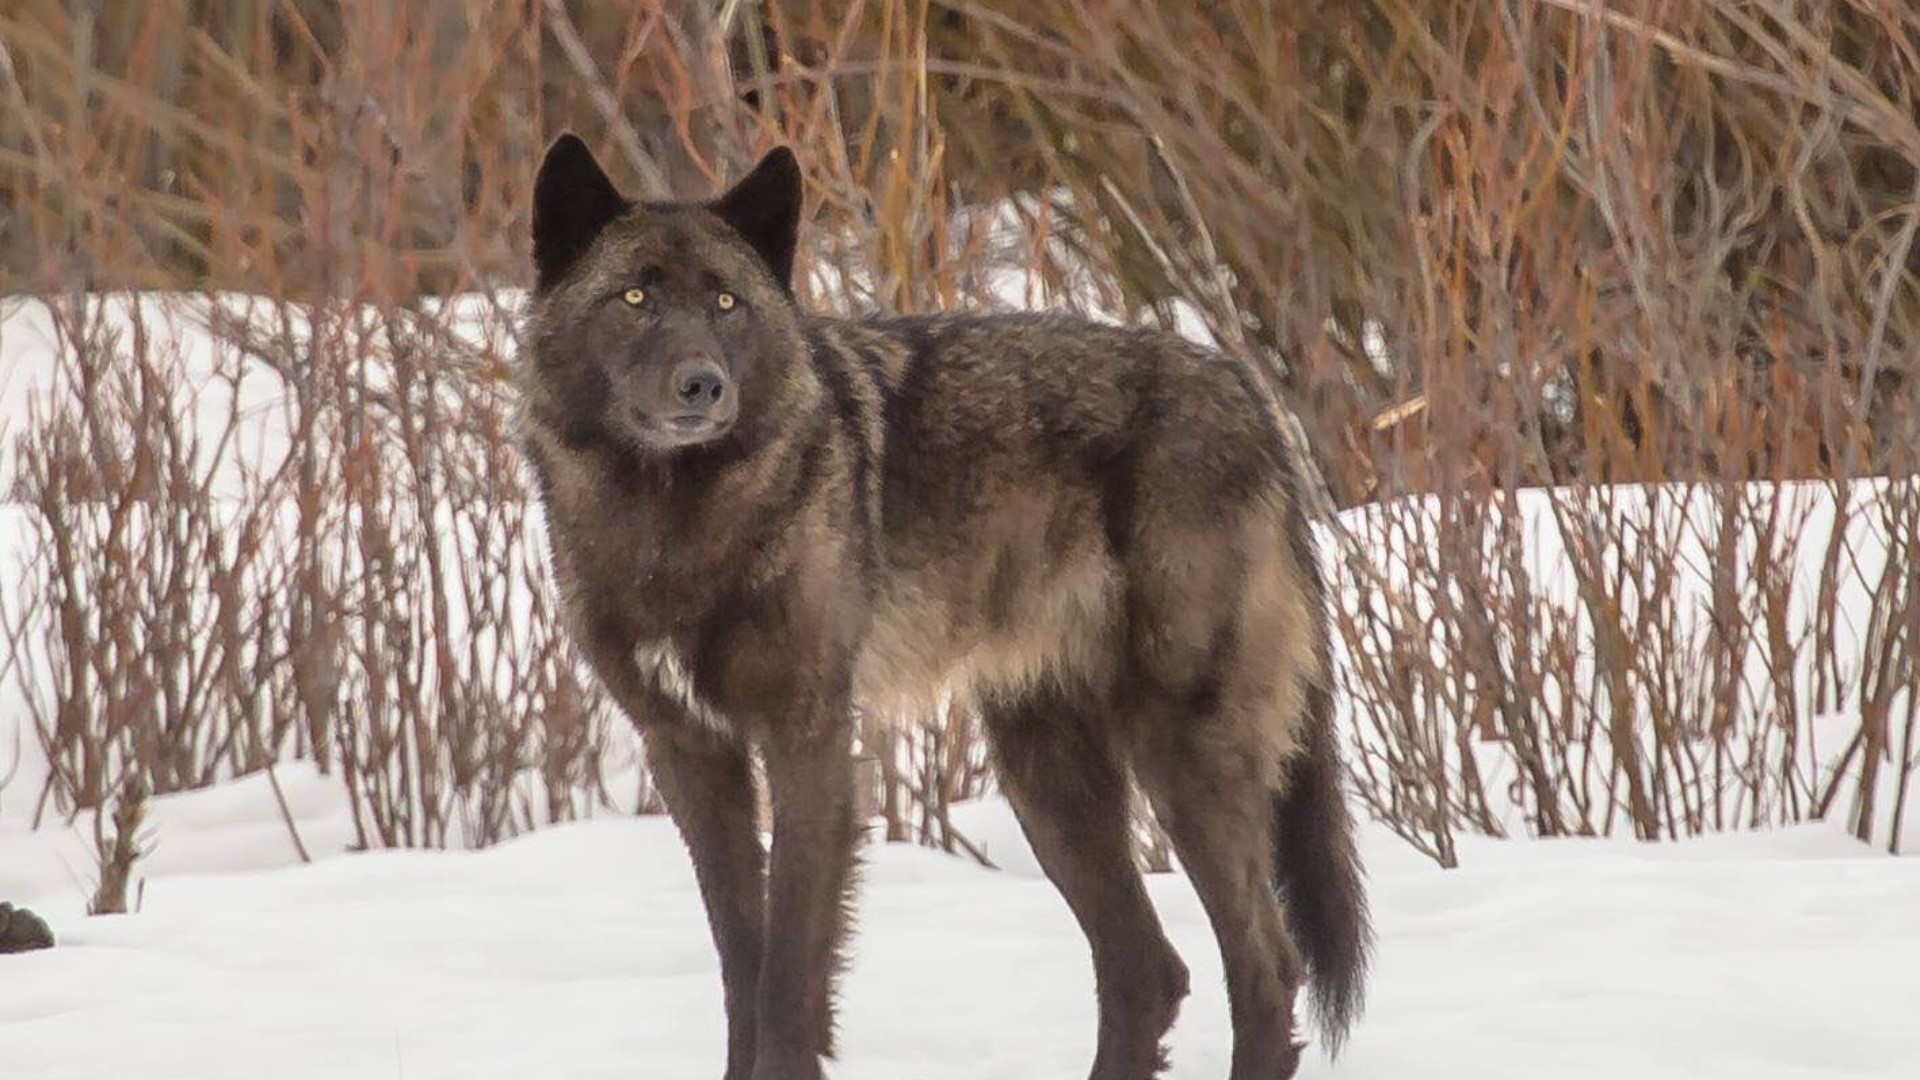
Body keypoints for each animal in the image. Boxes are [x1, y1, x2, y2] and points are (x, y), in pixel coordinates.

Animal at [518, 133, 1370, 1080]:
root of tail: (1244, 389)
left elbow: (787, 977)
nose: (702, 385)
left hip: (1181, 759)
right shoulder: (692, 758)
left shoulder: (809, 742)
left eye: (726, 303)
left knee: (1265, 967)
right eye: (634, 297)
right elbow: (741, 965)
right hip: (1049, 785)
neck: (673, 526)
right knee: (1150, 969)